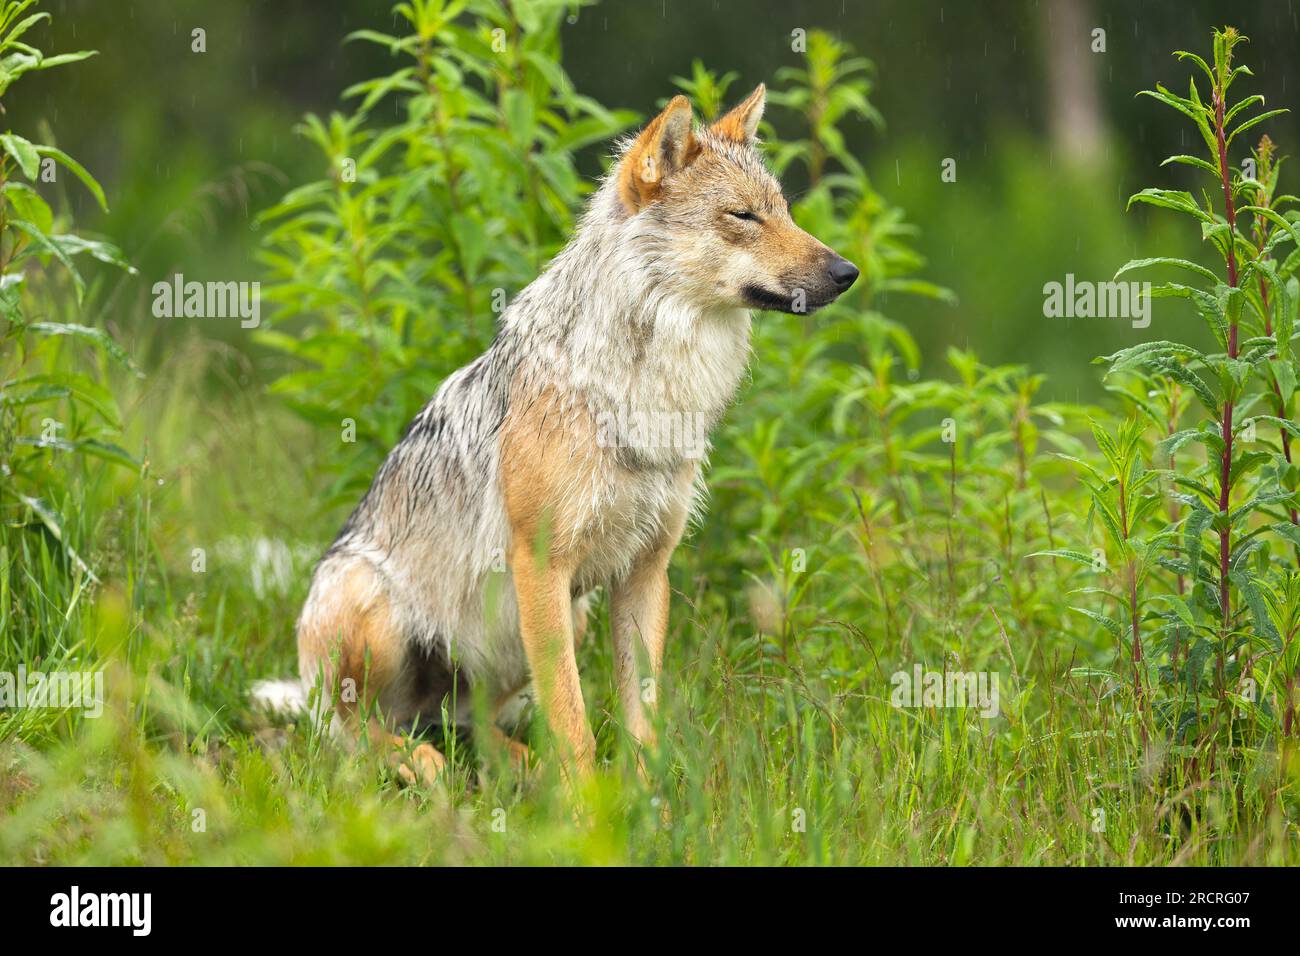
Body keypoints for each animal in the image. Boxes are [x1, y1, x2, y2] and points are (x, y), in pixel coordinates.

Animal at [253, 84, 858, 784]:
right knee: (351, 735)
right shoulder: (540, 565)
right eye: (743, 216)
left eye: (784, 212)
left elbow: (641, 718)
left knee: (471, 726)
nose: (848, 272)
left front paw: (646, 799)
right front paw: (586, 802)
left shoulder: (646, 571)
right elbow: (573, 719)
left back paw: (513, 766)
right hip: (384, 613)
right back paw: (423, 764)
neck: (649, 389)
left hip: (547, 624)